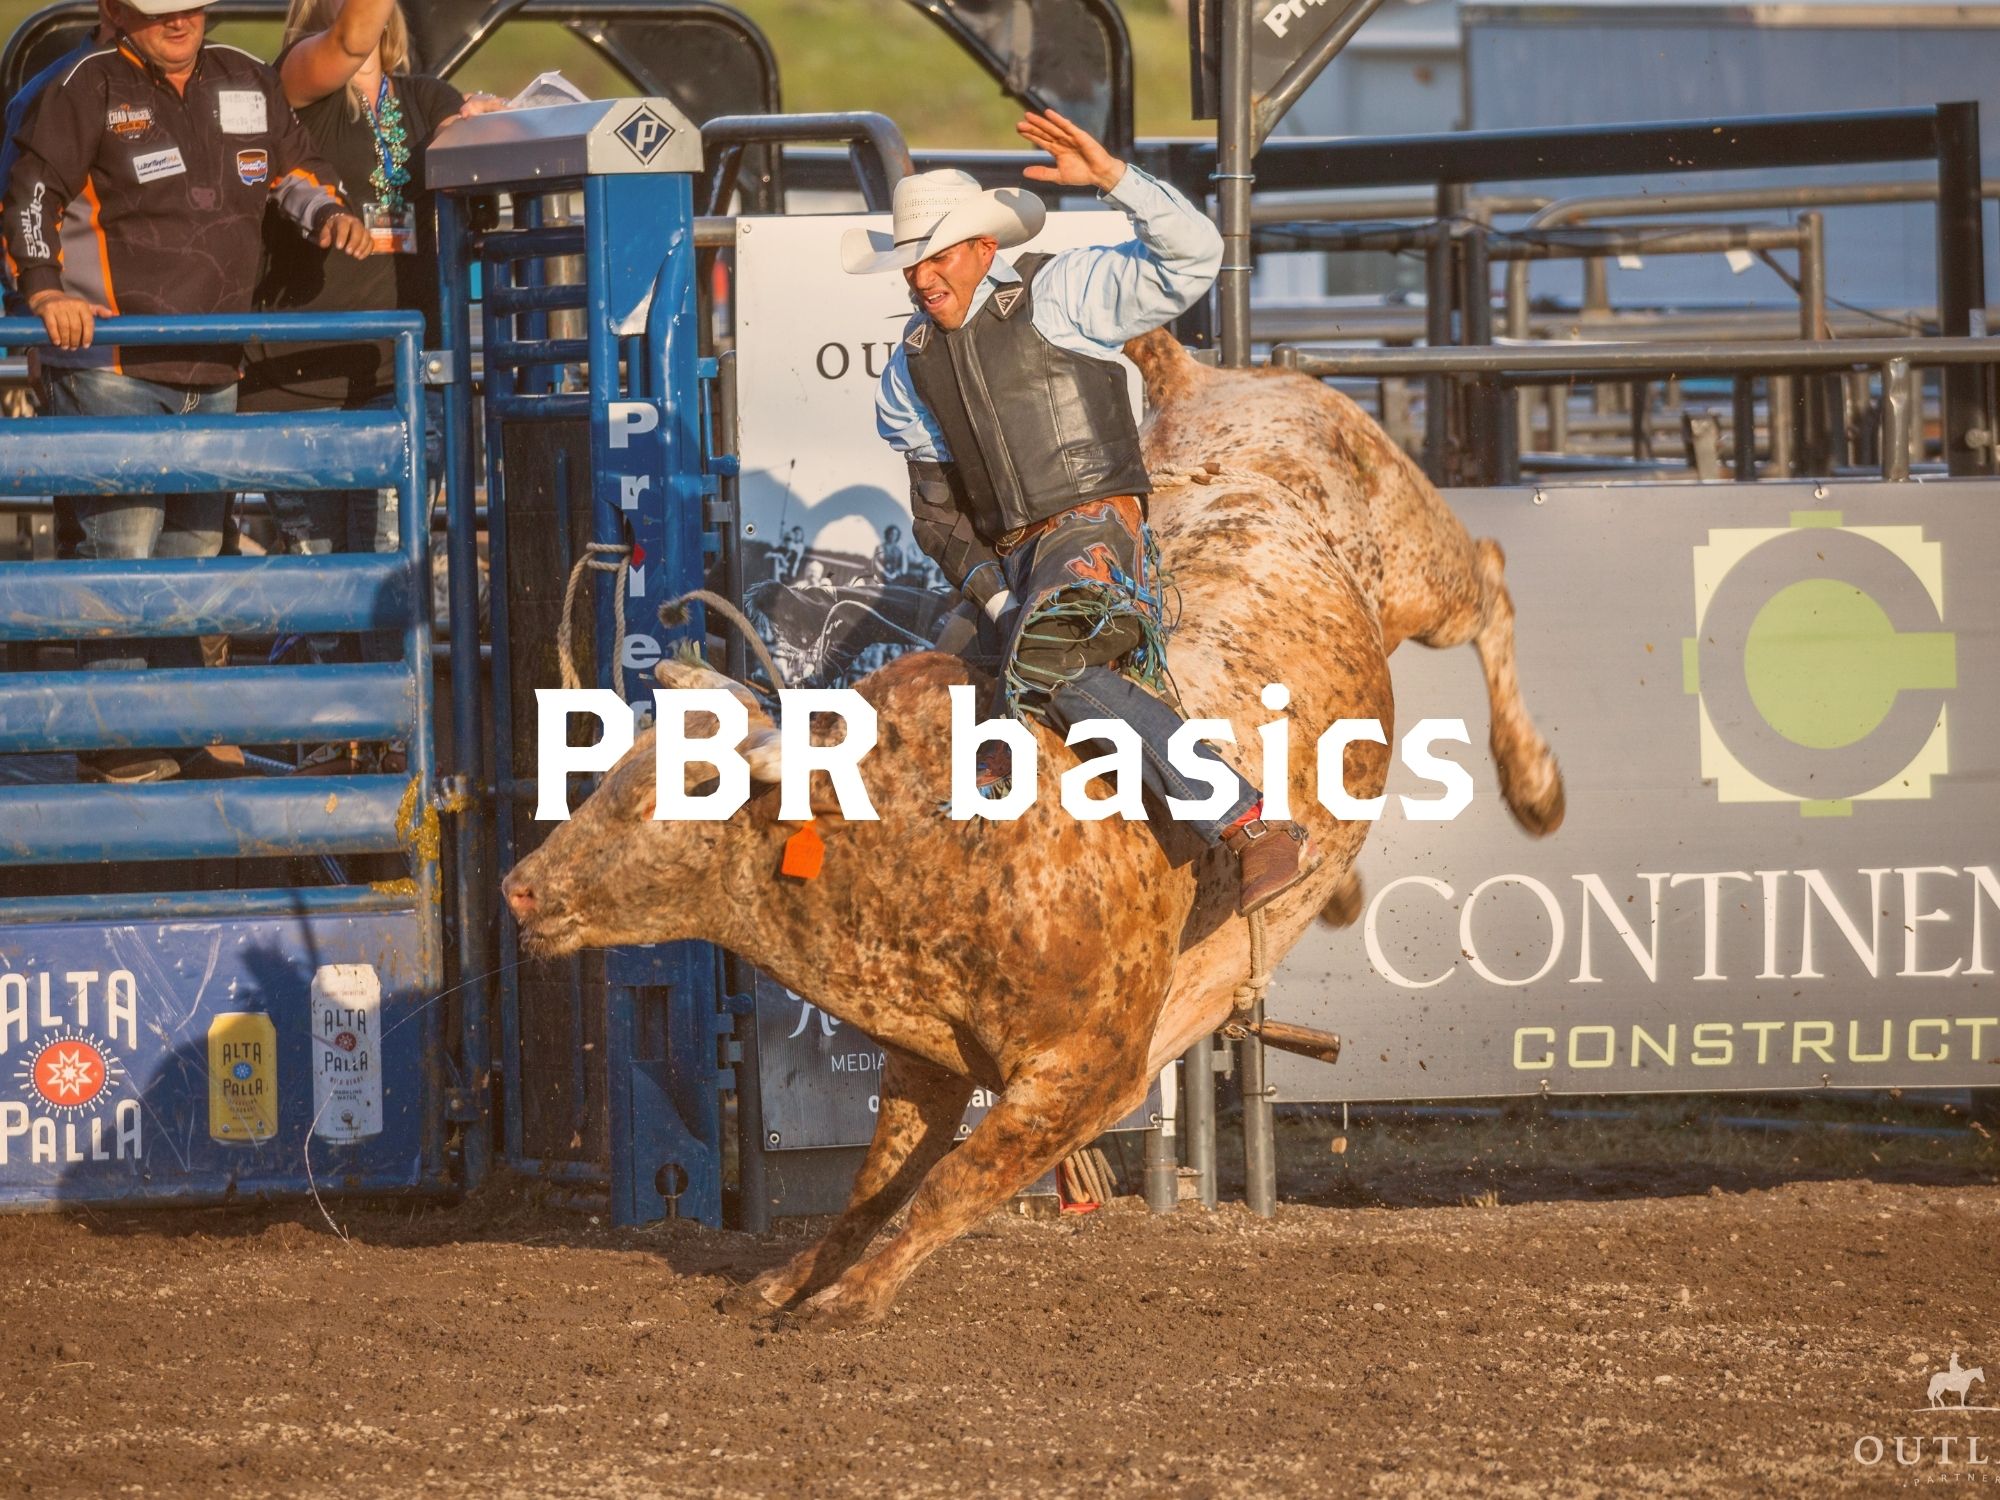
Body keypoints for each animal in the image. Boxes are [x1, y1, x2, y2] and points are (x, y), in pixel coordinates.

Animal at [500, 329, 1564, 1327]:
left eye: (684, 788)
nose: (520, 887)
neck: (947, 838)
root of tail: (1198, 378)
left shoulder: (1090, 1074)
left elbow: (953, 1184)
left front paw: (852, 1299)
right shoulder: (924, 1062)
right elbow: (874, 1186)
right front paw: (789, 1281)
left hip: (1416, 560)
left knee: (1492, 582)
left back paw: (1534, 785)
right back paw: (1335, 885)